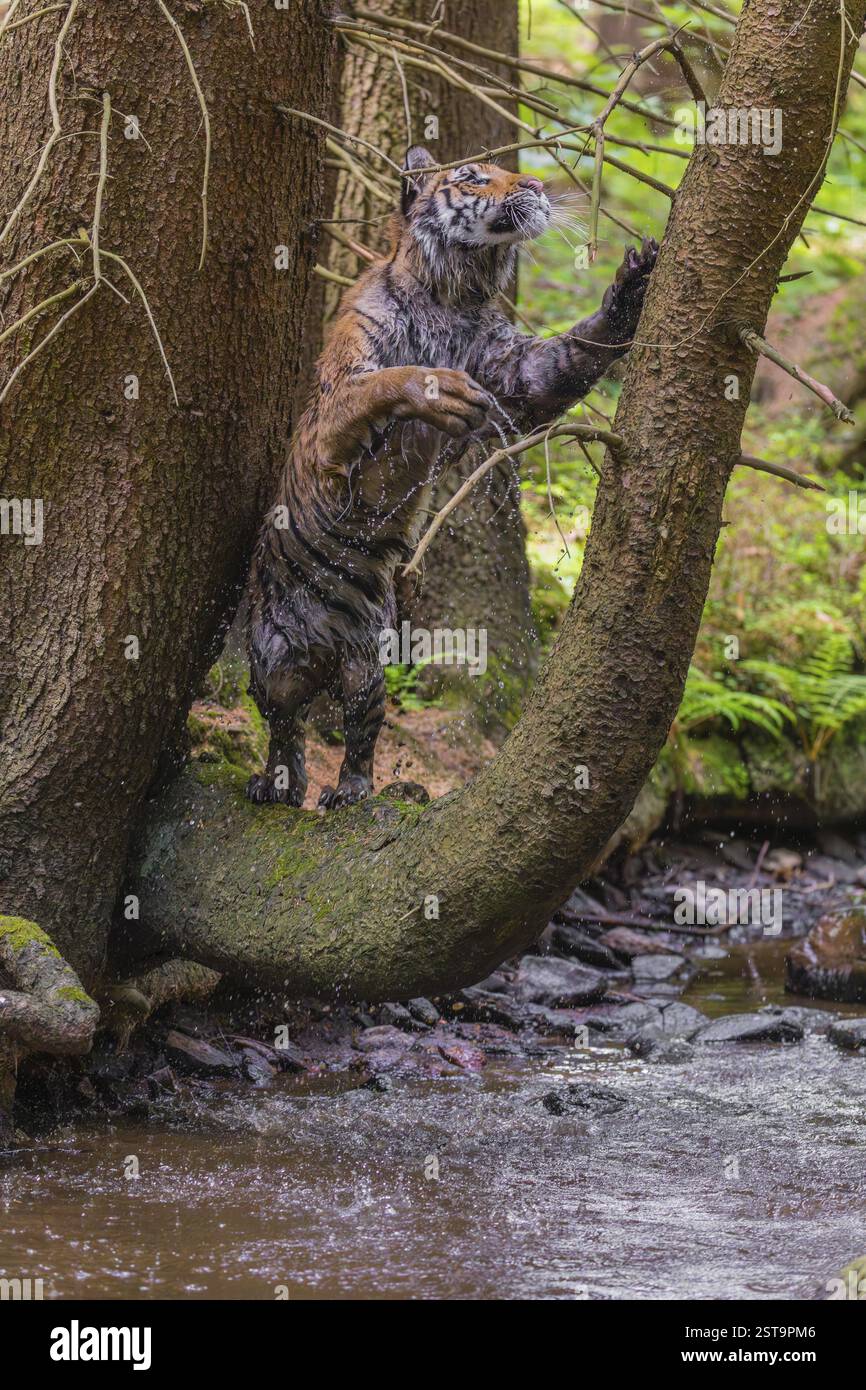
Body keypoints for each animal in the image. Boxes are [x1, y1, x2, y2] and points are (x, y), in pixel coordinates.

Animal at [245, 145, 658, 810]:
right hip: (272, 664)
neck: (454, 293)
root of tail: (321, 653)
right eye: (473, 176)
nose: (536, 183)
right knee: (285, 726)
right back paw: (275, 785)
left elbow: (574, 351)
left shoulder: (517, 373)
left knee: (357, 732)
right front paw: (440, 387)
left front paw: (633, 284)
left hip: (365, 664)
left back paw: (347, 792)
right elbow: (393, 380)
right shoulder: (338, 413)